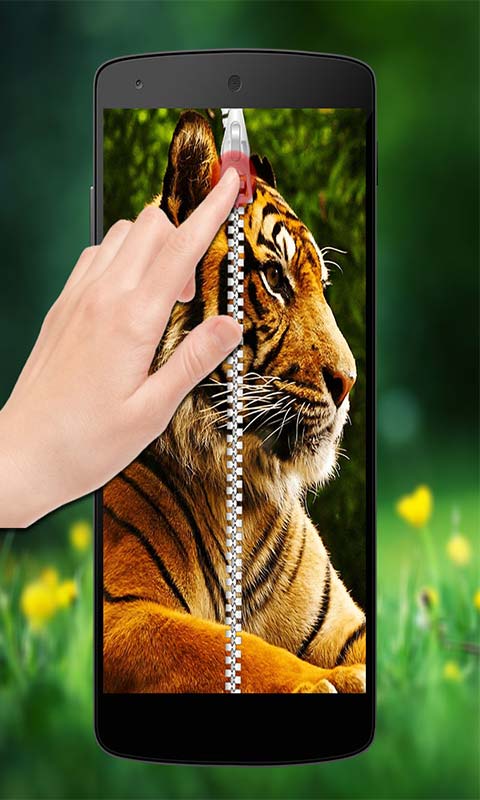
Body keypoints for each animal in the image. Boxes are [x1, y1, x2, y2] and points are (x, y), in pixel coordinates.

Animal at [103, 110, 366, 694]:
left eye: (323, 284)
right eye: (274, 277)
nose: (349, 381)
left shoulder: (343, 622)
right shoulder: (121, 611)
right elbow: (227, 649)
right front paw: (322, 684)